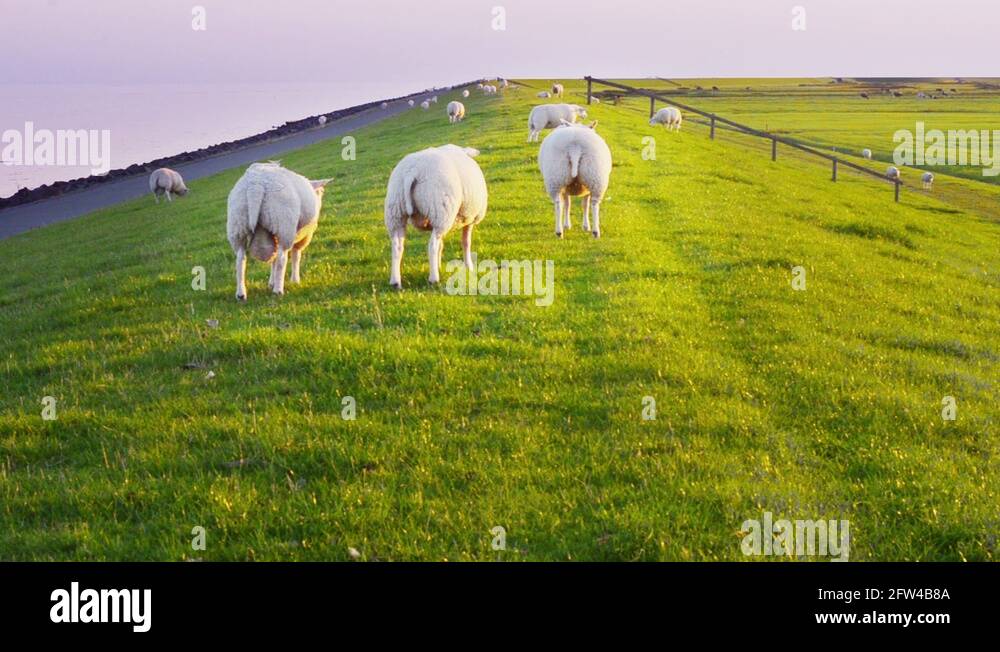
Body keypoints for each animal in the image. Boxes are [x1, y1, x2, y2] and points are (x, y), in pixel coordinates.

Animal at [226, 162, 332, 300]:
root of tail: (256, 185)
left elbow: (273, 260)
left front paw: (272, 281)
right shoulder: (303, 237)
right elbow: (295, 255)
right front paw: (294, 280)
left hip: (238, 225)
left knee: (240, 260)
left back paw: (241, 293)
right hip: (283, 224)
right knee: (282, 257)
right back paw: (278, 290)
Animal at [384, 144, 488, 288]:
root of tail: (413, 170)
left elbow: (441, 245)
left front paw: (439, 265)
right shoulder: (470, 219)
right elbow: (466, 242)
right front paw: (469, 266)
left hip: (396, 212)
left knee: (397, 246)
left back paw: (395, 282)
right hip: (441, 210)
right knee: (432, 245)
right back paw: (434, 278)